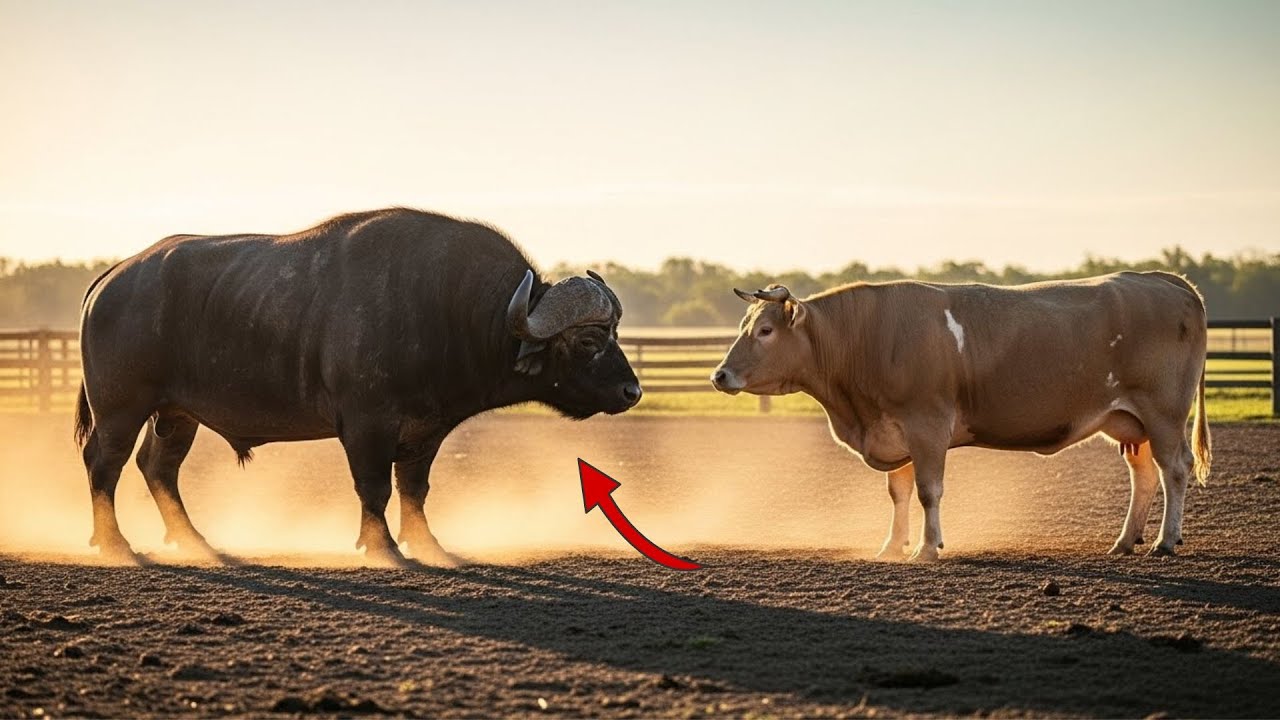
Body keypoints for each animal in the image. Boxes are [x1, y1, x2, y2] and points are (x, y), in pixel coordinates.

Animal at [75, 207, 642, 565]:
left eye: (615, 332)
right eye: (588, 340)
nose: (632, 393)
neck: (446, 307)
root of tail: (112, 279)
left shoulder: (426, 430)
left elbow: (414, 488)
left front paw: (426, 544)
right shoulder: (367, 425)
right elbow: (373, 486)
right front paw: (382, 547)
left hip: (176, 414)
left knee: (158, 467)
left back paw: (192, 541)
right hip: (120, 408)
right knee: (105, 463)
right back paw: (114, 544)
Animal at [711, 272, 1211, 560]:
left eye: (765, 330)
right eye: (743, 326)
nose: (720, 375)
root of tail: (1164, 280)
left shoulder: (927, 425)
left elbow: (928, 492)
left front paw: (927, 547)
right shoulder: (894, 429)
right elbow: (898, 492)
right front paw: (891, 546)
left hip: (1164, 413)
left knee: (1175, 469)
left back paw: (1166, 540)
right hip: (1128, 421)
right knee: (1144, 475)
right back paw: (1125, 541)